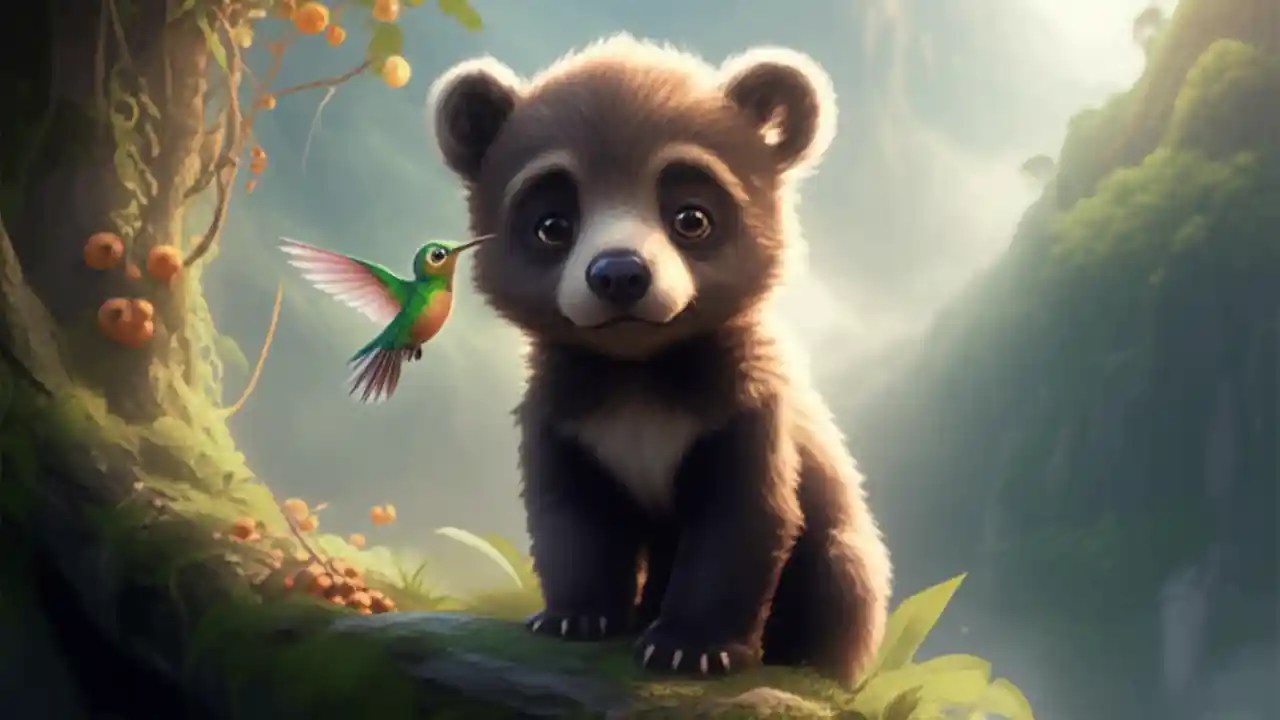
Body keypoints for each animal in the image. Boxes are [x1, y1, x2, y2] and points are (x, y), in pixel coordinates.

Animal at [428, 34, 892, 686]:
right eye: (552, 225)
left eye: (691, 218)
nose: (619, 273)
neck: (639, 370)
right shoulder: (564, 416)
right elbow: (570, 515)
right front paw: (573, 617)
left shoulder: (746, 408)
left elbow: (742, 520)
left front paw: (690, 648)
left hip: (846, 547)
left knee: (841, 582)